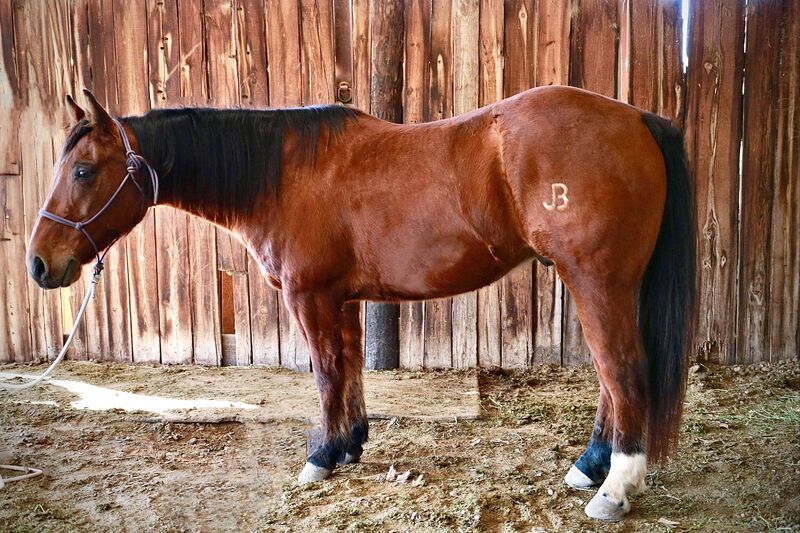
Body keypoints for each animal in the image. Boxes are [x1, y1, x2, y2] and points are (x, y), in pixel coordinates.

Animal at [26, 86, 694, 522]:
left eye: (84, 170)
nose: (38, 263)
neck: (282, 174)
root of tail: (637, 117)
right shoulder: (340, 299)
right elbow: (347, 370)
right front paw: (349, 445)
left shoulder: (310, 296)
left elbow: (325, 373)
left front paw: (320, 458)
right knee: (611, 382)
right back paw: (589, 466)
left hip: (597, 283)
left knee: (623, 374)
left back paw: (613, 489)